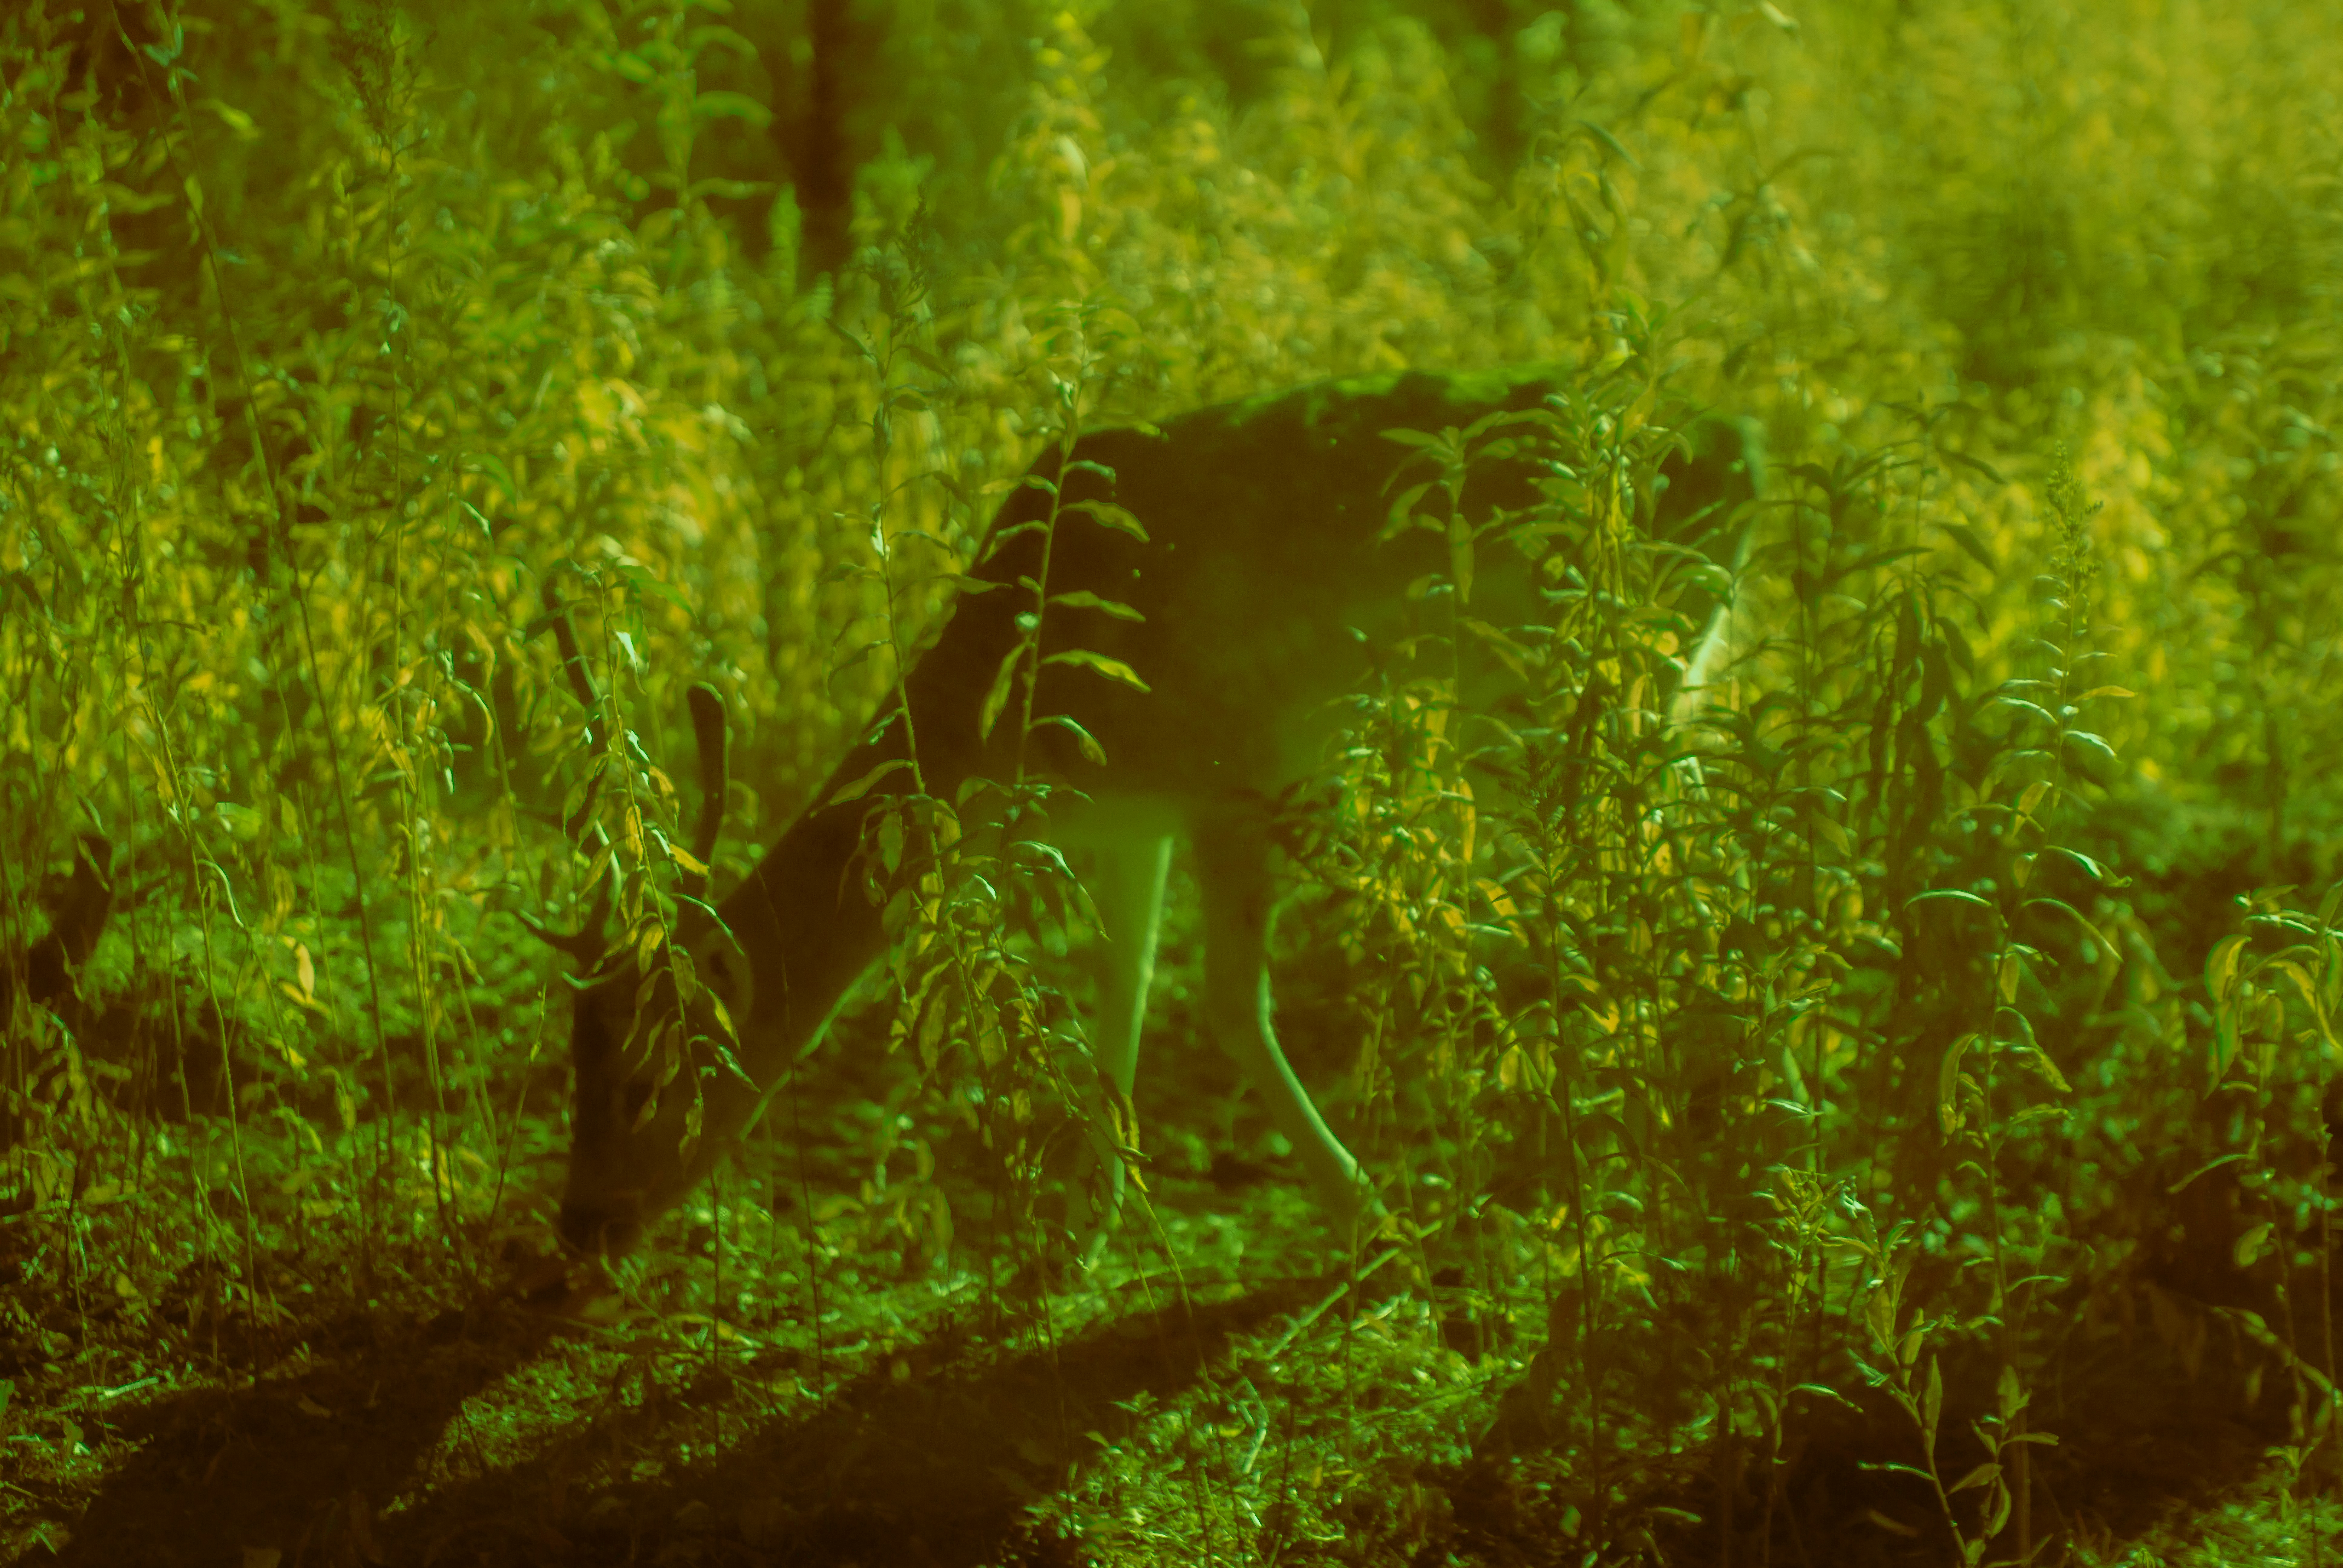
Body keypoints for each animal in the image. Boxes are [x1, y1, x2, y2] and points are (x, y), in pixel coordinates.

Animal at [543, 367, 1764, 1263]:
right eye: (572, 1062)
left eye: (649, 1076)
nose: (580, 1228)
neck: (1014, 712)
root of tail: (1744, 446)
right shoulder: (1136, 820)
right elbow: (1117, 1005)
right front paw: (1085, 1231)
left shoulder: (1234, 773)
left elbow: (1228, 1004)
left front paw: (1372, 1219)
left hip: (1588, 688)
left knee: (1677, 884)